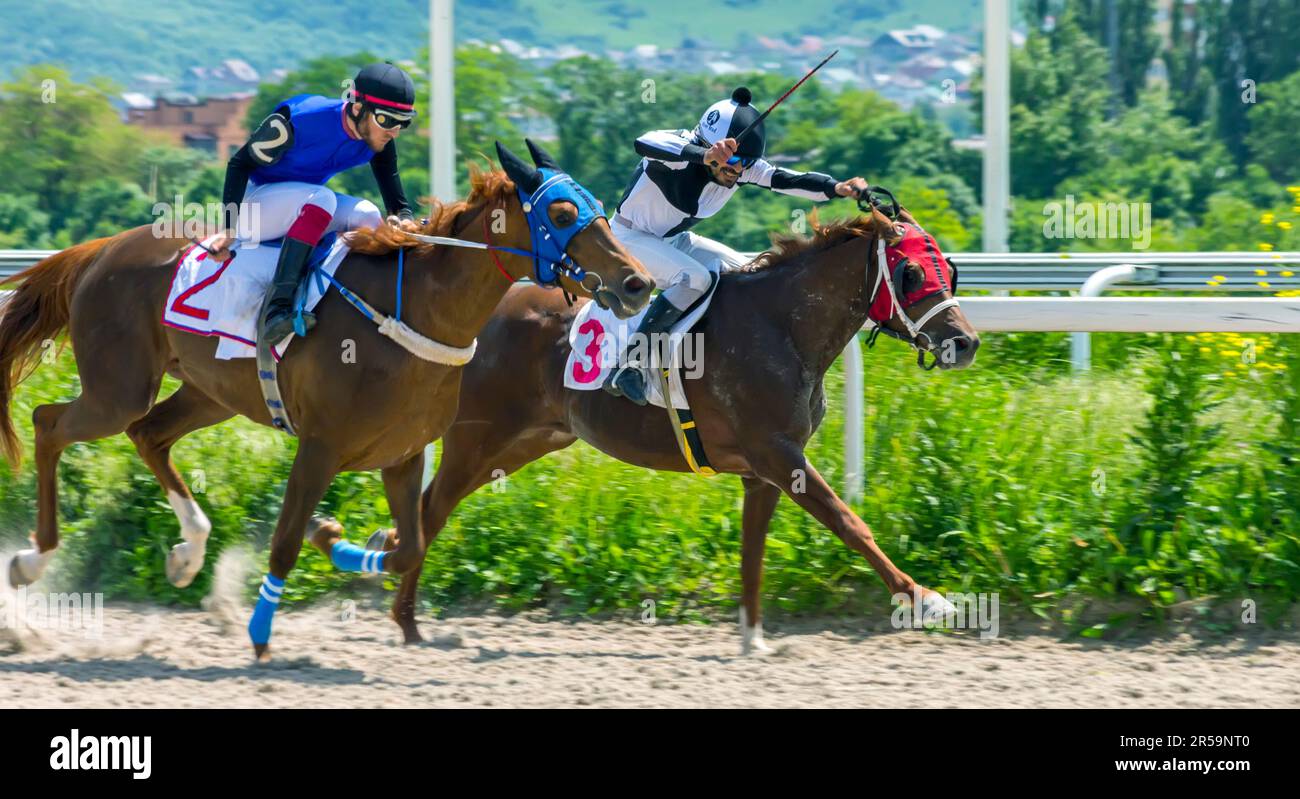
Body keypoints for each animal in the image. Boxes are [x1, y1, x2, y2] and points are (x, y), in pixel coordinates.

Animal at [0, 140, 654, 659]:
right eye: (563, 212)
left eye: (598, 206)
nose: (637, 282)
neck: (409, 313)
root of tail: (101, 249)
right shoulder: (319, 447)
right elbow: (287, 543)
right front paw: (262, 633)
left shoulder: (404, 454)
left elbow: (409, 547)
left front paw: (335, 539)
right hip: (119, 388)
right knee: (50, 423)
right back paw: (34, 558)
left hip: (208, 393)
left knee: (149, 434)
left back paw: (187, 550)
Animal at [341, 196, 980, 654]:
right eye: (911, 274)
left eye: (946, 268)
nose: (965, 342)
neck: (781, 325)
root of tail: (467, 319)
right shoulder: (780, 454)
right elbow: (851, 524)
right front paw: (926, 599)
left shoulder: (765, 469)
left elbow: (754, 551)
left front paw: (753, 637)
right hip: (477, 438)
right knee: (432, 510)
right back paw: (404, 616)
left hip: (526, 442)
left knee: (429, 509)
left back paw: (387, 568)